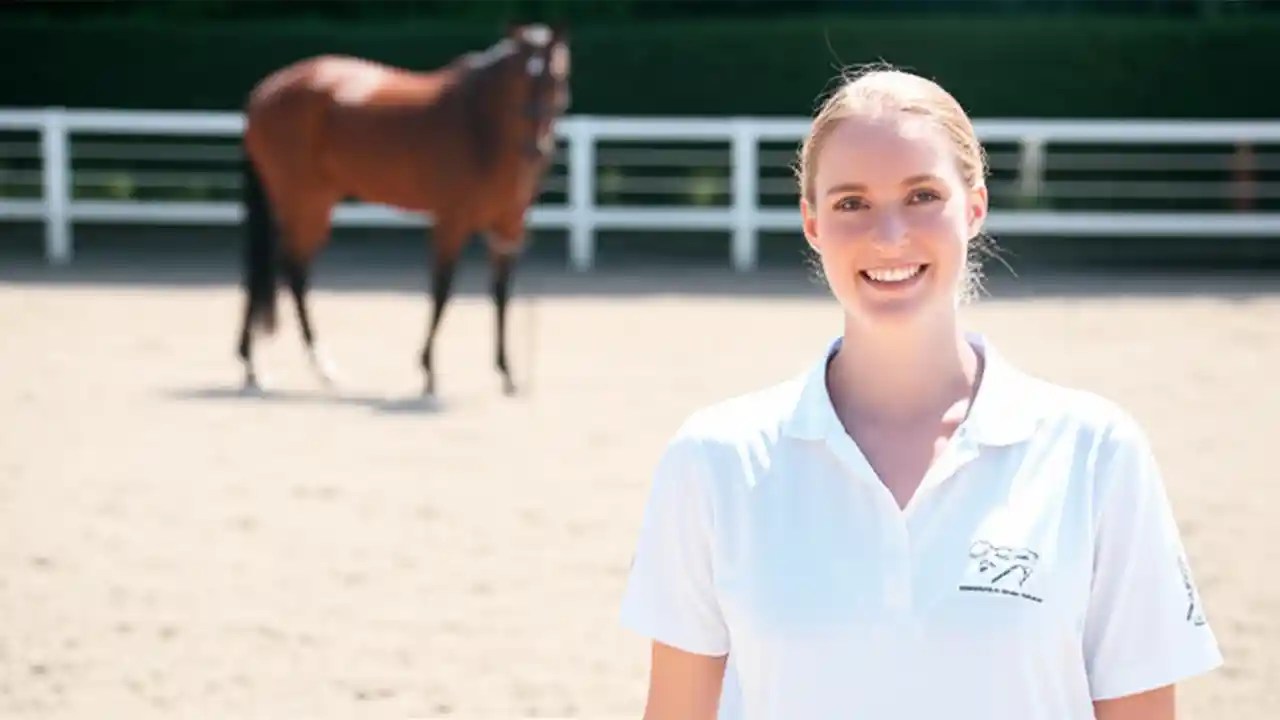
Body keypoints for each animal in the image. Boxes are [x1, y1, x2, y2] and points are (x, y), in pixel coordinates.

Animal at [235, 23, 571, 397]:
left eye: (558, 77)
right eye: (519, 78)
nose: (536, 150)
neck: (481, 126)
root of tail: (263, 93)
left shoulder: (508, 229)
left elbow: (501, 296)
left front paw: (507, 373)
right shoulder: (450, 222)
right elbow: (442, 290)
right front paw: (429, 371)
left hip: (314, 205)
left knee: (281, 269)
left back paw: (268, 365)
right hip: (303, 203)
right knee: (287, 270)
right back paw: (305, 365)